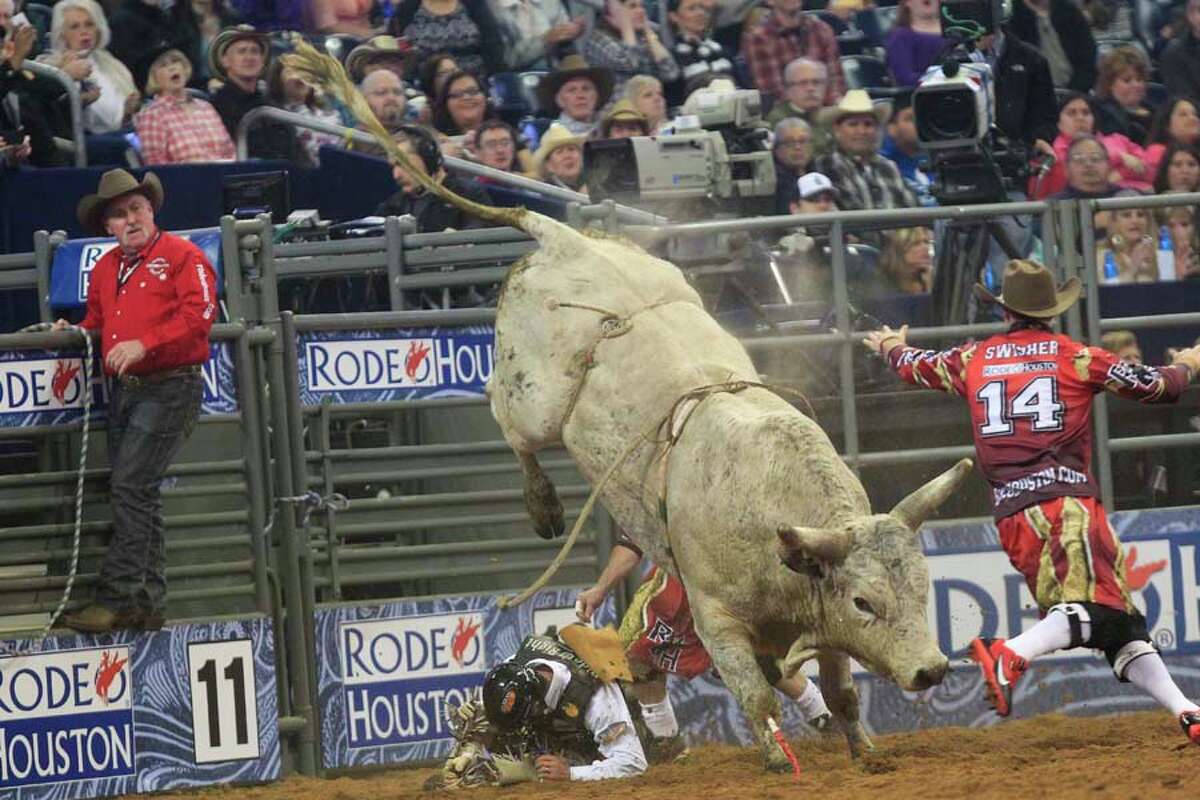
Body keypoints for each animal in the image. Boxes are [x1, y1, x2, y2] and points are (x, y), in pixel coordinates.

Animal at [280, 41, 973, 771]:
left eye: (922, 585)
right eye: (866, 600)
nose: (930, 669)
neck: (771, 512)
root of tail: (564, 237)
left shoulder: (816, 617)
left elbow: (837, 688)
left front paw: (866, 751)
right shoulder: (717, 617)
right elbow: (755, 693)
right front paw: (779, 758)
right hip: (531, 396)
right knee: (512, 425)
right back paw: (544, 508)